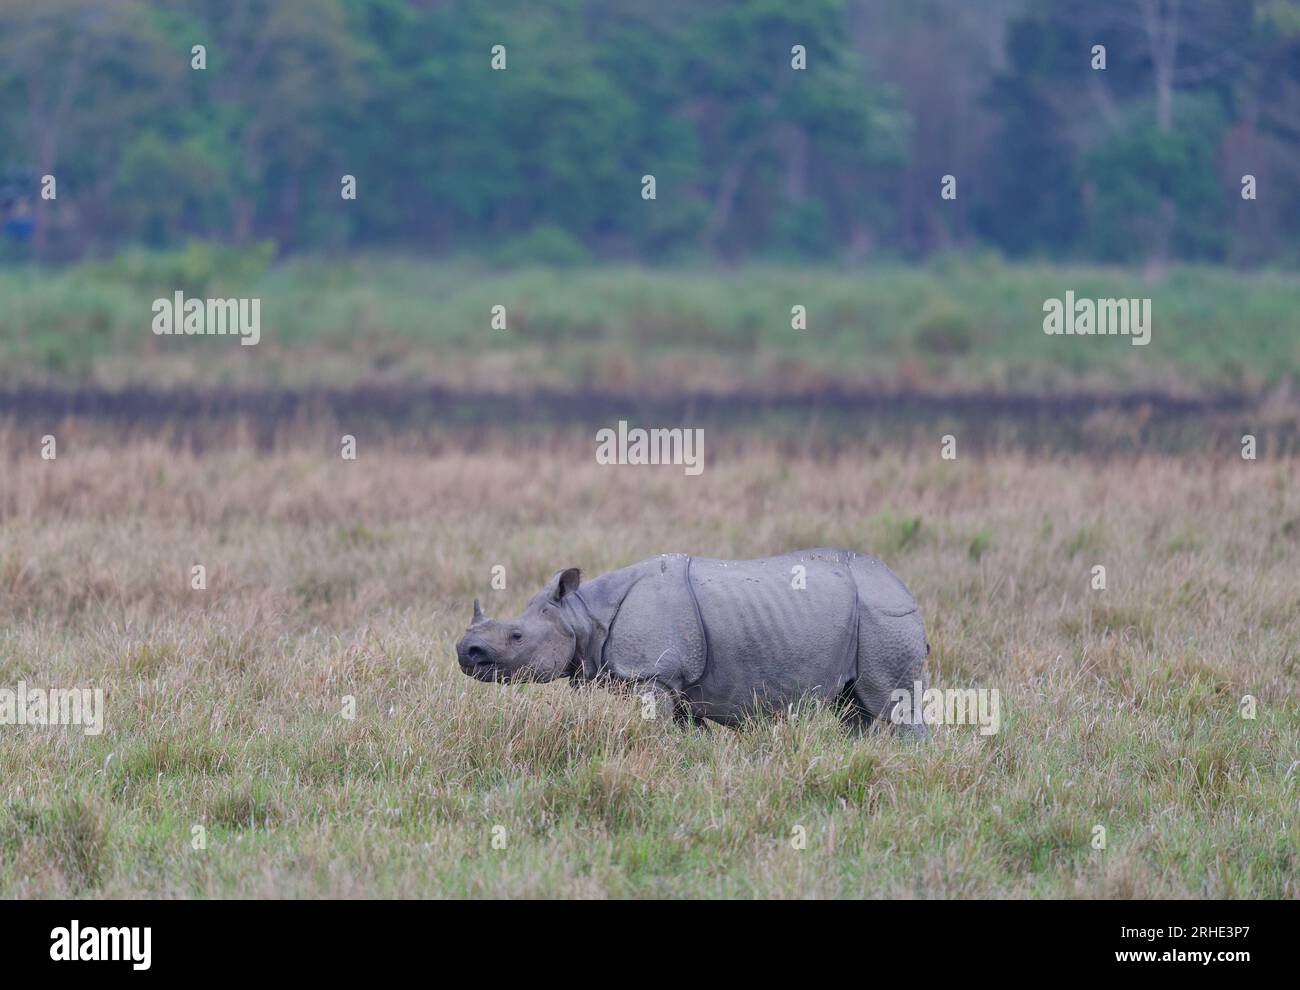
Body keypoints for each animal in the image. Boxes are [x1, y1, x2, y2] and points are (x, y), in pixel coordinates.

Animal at [455, 549, 930, 737]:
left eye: (516, 636)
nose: (465, 654)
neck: (583, 615)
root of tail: (903, 587)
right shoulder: (679, 685)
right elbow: (689, 735)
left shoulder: (654, 675)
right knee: (856, 708)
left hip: (884, 617)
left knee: (894, 705)